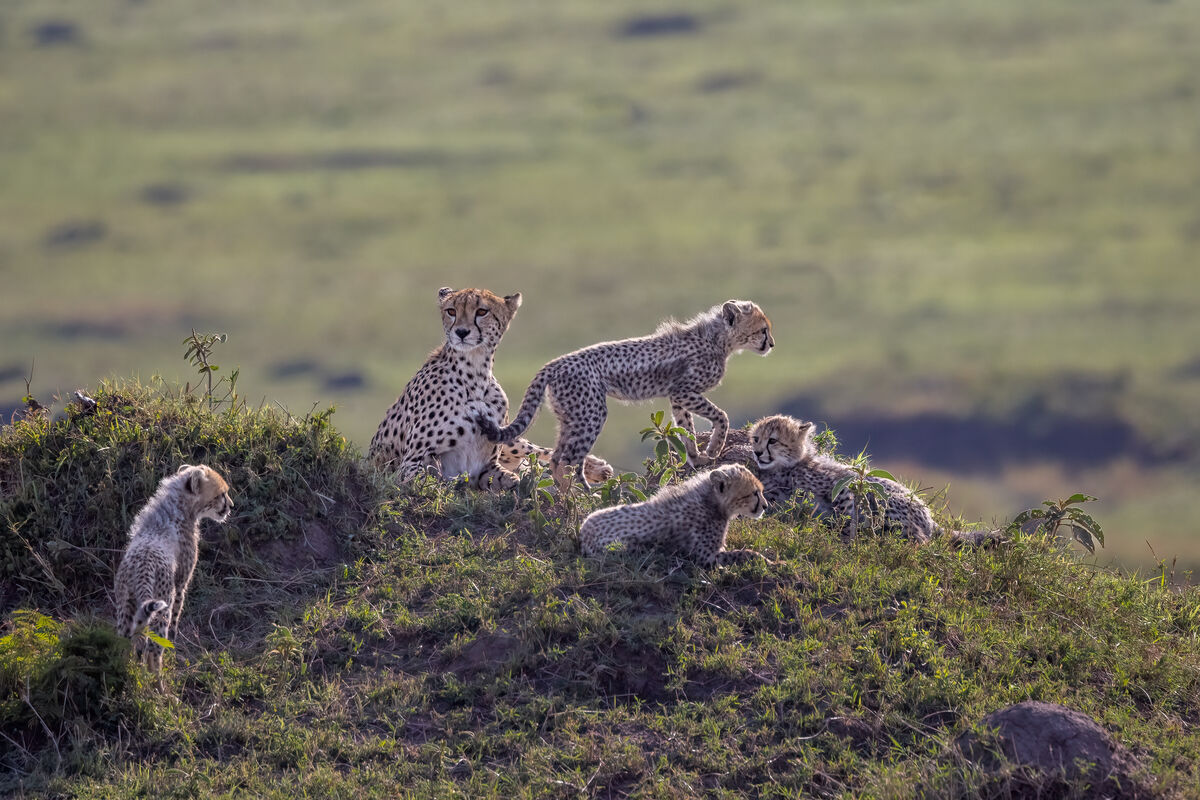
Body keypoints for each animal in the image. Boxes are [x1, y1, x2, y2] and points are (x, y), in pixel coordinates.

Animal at [113, 464, 233, 672]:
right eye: (221, 494)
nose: (231, 506)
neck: (178, 507)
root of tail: (141, 567)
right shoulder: (180, 583)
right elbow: (178, 611)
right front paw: (174, 640)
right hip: (161, 608)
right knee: (153, 651)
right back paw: (158, 679)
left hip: (126, 608)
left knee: (126, 645)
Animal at [368, 287, 613, 490]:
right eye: (451, 311)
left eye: (482, 311)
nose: (461, 332)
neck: (475, 374)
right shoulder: (412, 463)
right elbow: (435, 482)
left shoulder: (487, 463)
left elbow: (511, 477)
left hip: (509, 440)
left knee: (535, 451)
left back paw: (595, 468)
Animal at [477, 299, 774, 492]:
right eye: (763, 329)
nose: (771, 344)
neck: (718, 339)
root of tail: (555, 363)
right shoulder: (684, 390)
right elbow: (721, 416)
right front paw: (713, 449)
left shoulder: (677, 396)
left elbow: (686, 428)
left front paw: (697, 457)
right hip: (591, 413)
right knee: (567, 459)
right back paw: (584, 497)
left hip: (571, 416)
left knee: (556, 457)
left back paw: (569, 494)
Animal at [580, 464, 770, 568]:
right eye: (754, 493)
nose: (765, 506)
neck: (710, 499)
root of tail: (582, 534)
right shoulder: (705, 558)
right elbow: (744, 554)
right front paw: (768, 561)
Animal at [749, 415, 1002, 545]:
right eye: (756, 439)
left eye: (772, 440)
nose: (758, 453)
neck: (786, 467)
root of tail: (930, 519)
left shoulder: (844, 486)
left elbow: (847, 514)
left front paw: (846, 538)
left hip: (887, 504)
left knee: (919, 539)